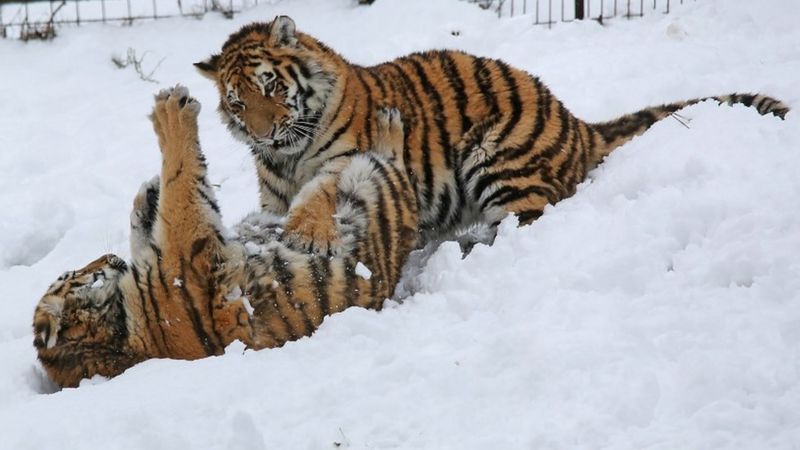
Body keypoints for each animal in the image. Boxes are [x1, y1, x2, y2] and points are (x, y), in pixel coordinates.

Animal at [32, 86, 418, 388]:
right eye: (72, 275)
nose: (109, 259)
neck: (119, 327)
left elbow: (160, 210)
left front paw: (148, 198)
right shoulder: (187, 251)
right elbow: (181, 182)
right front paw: (171, 111)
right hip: (367, 181)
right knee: (392, 163)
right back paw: (389, 122)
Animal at [194, 16, 790, 251]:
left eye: (272, 86)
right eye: (238, 102)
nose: (264, 134)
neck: (289, 155)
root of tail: (578, 123)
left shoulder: (349, 158)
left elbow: (321, 187)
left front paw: (308, 233)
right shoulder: (274, 188)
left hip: (497, 154)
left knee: (528, 221)